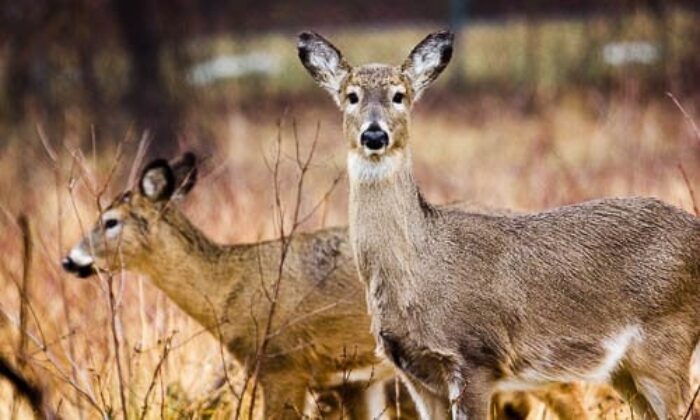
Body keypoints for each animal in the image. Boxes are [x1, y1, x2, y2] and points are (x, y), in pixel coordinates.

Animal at [298, 29, 700, 420]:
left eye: (399, 95)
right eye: (351, 96)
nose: (374, 135)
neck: (422, 268)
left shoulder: (475, 356)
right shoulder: (417, 374)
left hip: (666, 343)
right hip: (624, 369)